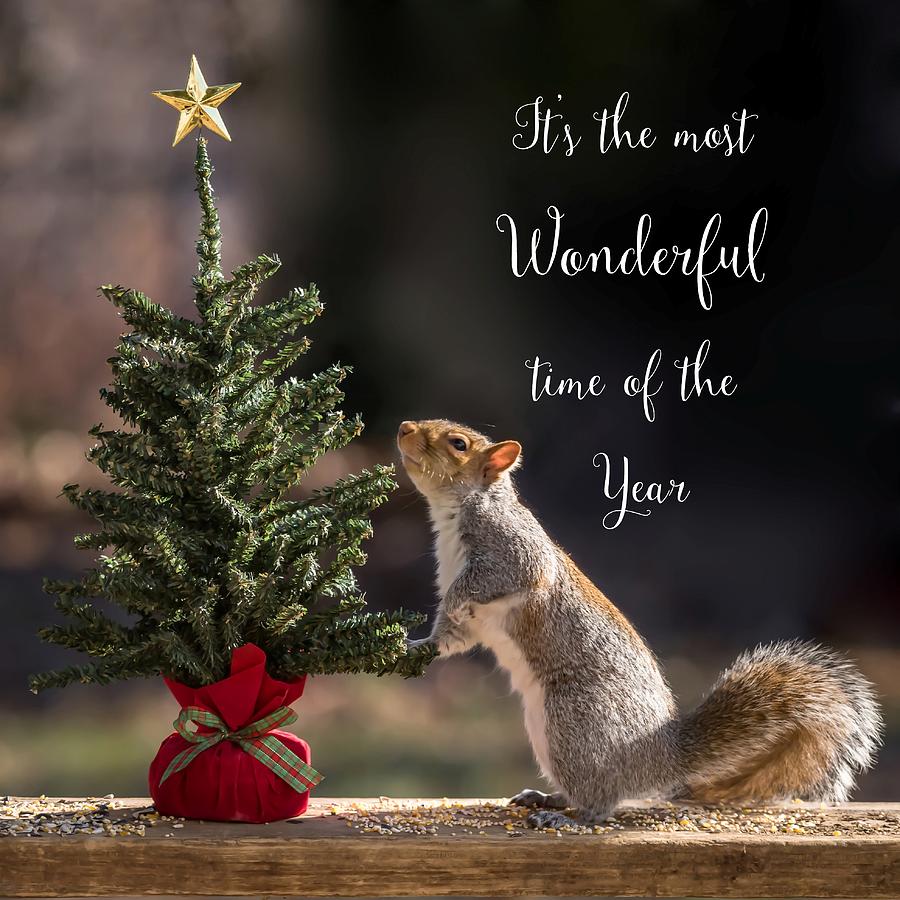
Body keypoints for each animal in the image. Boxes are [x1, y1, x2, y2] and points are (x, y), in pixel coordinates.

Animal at [397, 418, 883, 829]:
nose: (404, 427)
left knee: (601, 802)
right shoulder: (473, 619)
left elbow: (505, 577)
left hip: (575, 722)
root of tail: (658, 758)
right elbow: (453, 637)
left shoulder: (513, 552)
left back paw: (569, 818)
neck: (457, 515)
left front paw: (446, 606)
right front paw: (415, 647)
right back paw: (548, 798)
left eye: (458, 443)